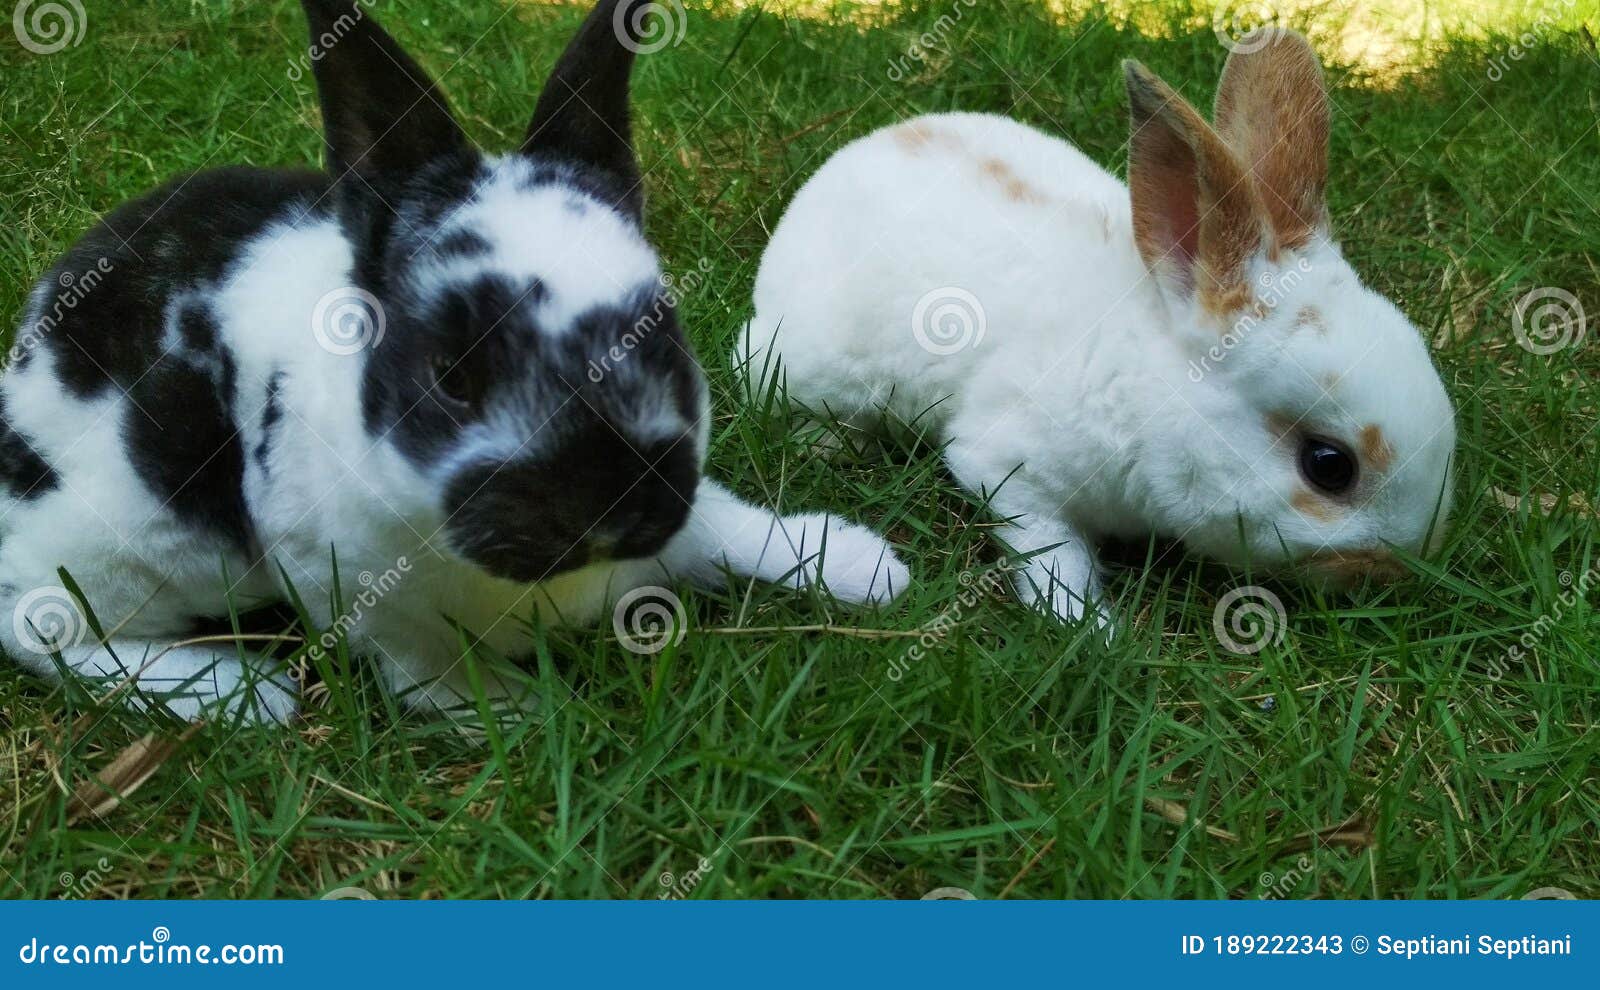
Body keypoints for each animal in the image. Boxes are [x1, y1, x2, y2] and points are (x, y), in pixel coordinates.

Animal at [0, 0, 908, 725]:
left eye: (664, 339)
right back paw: (241, 697)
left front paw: (864, 568)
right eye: (451, 376)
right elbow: (430, 666)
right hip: (137, 542)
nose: (603, 506)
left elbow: (727, 523)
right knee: (40, 623)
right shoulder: (355, 593)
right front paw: (524, 716)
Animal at [738, 29, 1456, 629]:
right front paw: (1089, 629)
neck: (1149, 382)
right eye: (1328, 466)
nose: (1394, 571)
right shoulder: (1010, 470)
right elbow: (1052, 551)